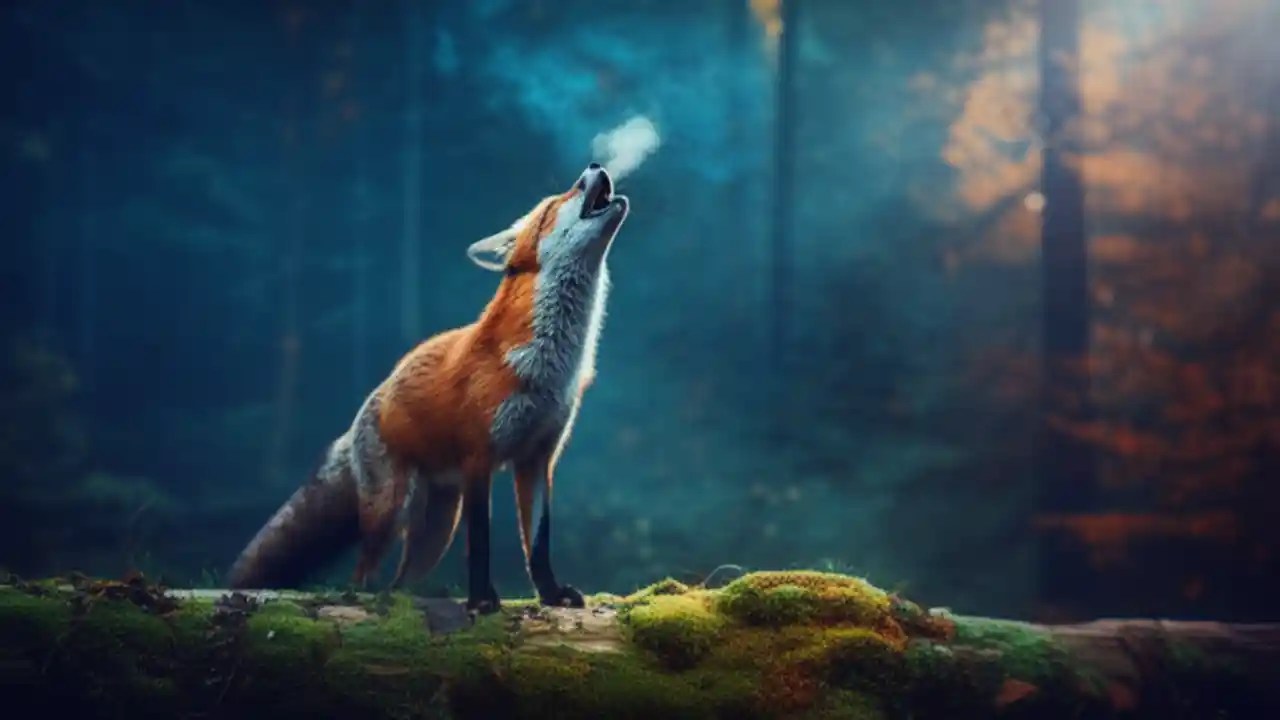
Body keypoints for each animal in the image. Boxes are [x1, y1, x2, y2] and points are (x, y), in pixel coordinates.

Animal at [226, 163, 629, 613]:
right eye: (554, 206)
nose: (593, 167)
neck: (547, 362)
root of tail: (365, 409)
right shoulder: (479, 456)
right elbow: (481, 543)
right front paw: (480, 601)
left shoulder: (538, 458)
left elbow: (539, 544)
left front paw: (551, 595)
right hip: (391, 512)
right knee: (362, 573)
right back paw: (366, 600)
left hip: (436, 530)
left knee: (401, 579)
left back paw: (405, 599)